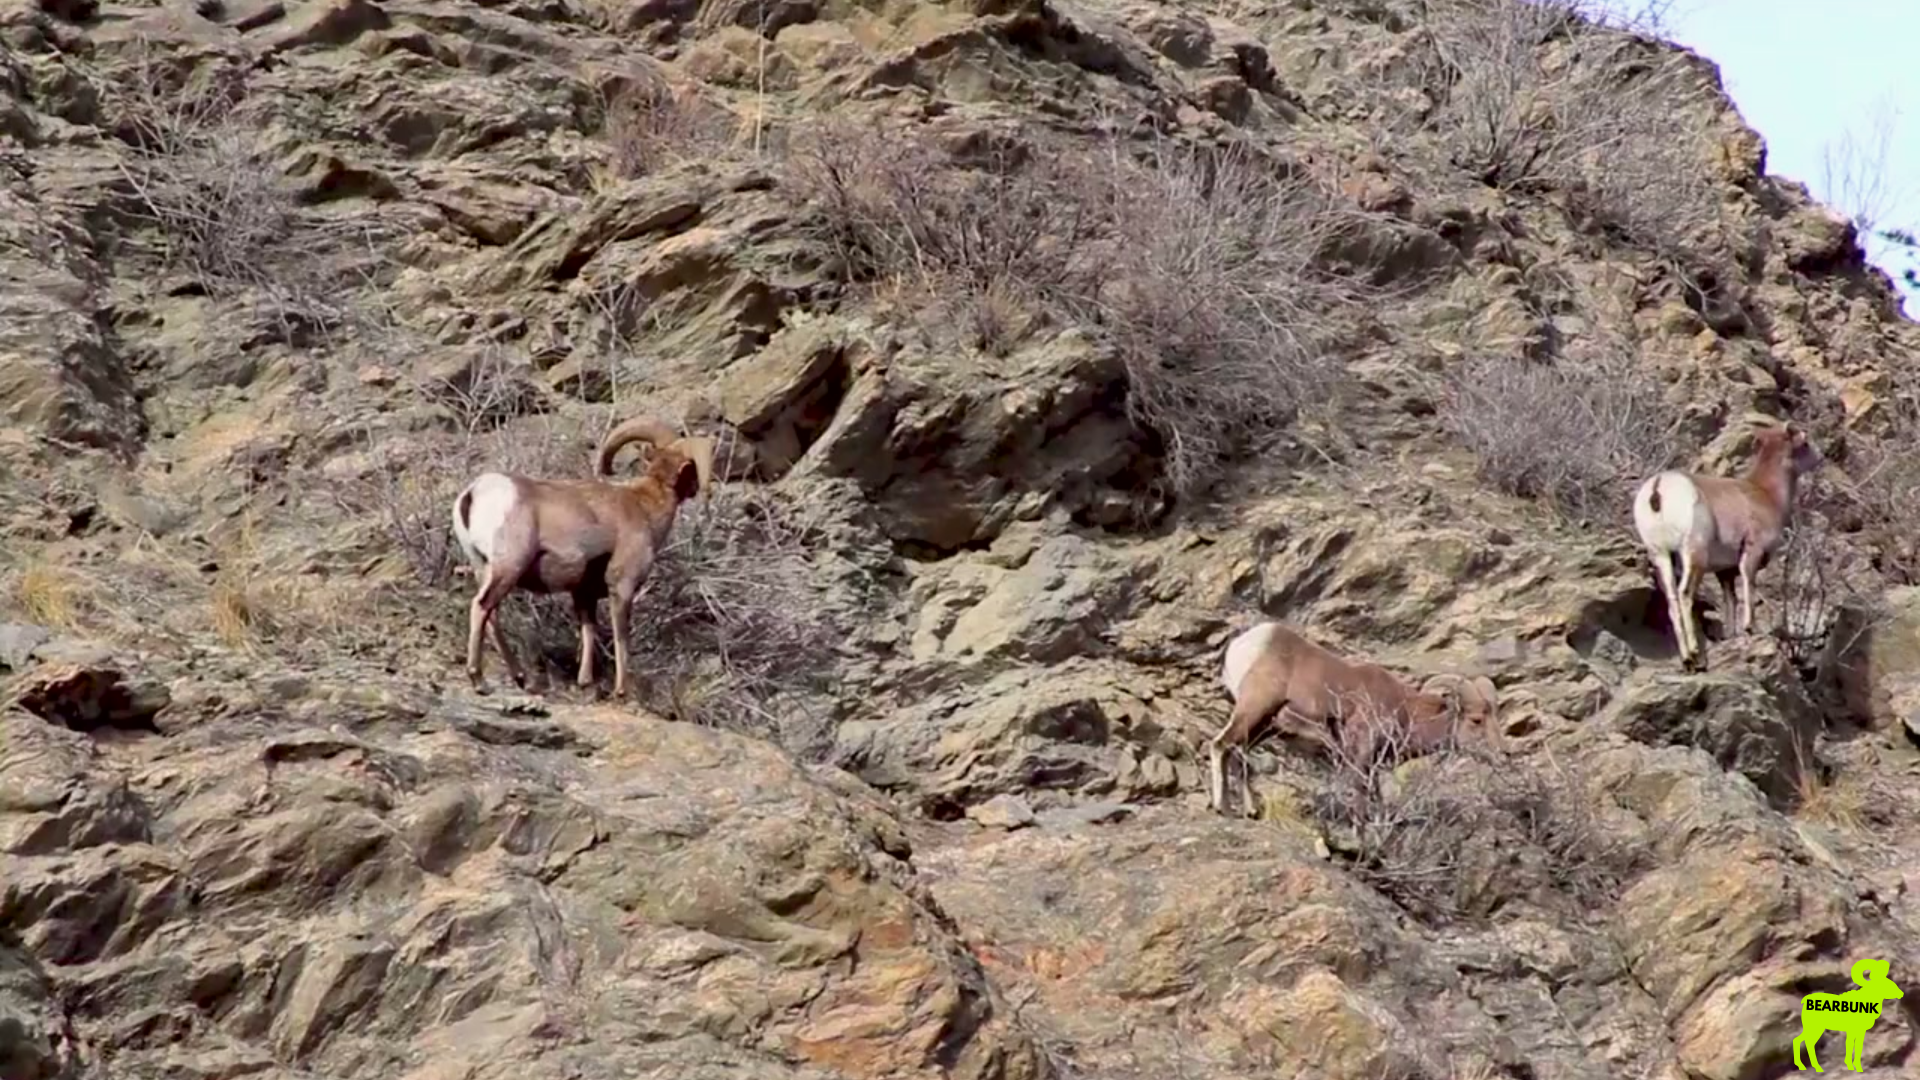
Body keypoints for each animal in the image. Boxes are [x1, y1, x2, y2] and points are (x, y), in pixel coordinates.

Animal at [449, 416, 716, 699]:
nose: (696, 489)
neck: (644, 507)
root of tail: (473, 493)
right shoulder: (622, 586)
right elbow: (621, 636)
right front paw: (621, 691)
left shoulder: (584, 593)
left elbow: (589, 631)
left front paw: (585, 682)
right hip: (508, 567)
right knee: (482, 607)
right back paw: (479, 680)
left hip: (485, 569)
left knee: (492, 616)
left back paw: (523, 679)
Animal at [1206, 620, 1501, 817]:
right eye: (1476, 720)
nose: (1503, 754)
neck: (1401, 709)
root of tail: (1241, 645)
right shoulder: (1361, 755)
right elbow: (1362, 800)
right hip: (1254, 709)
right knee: (1220, 745)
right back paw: (1223, 808)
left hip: (1264, 726)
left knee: (1237, 753)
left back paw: (1249, 811)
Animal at [1630, 423, 1823, 672]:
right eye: (1805, 442)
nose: (1820, 457)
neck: (1767, 494)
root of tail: (1658, 487)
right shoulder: (1751, 553)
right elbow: (1748, 588)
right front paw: (1750, 628)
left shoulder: (1725, 573)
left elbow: (1730, 602)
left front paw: (1731, 636)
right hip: (1694, 555)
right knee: (1685, 594)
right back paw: (1695, 653)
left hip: (1661, 556)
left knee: (1672, 599)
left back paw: (1687, 660)